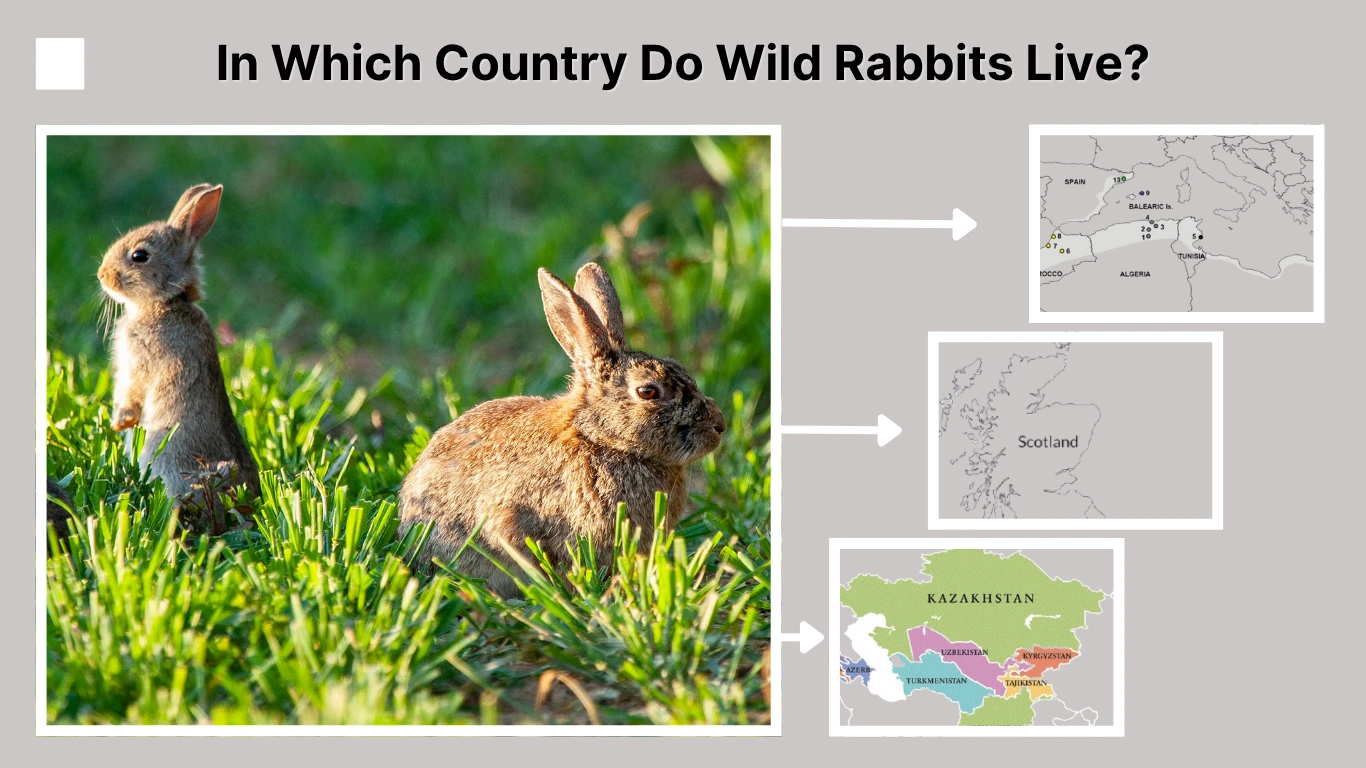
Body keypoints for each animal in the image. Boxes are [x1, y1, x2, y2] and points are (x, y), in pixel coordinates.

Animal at [97, 184, 260, 503]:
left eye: (139, 255)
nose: (102, 276)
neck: (165, 303)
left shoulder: (142, 363)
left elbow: (133, 393)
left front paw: (121, 422)